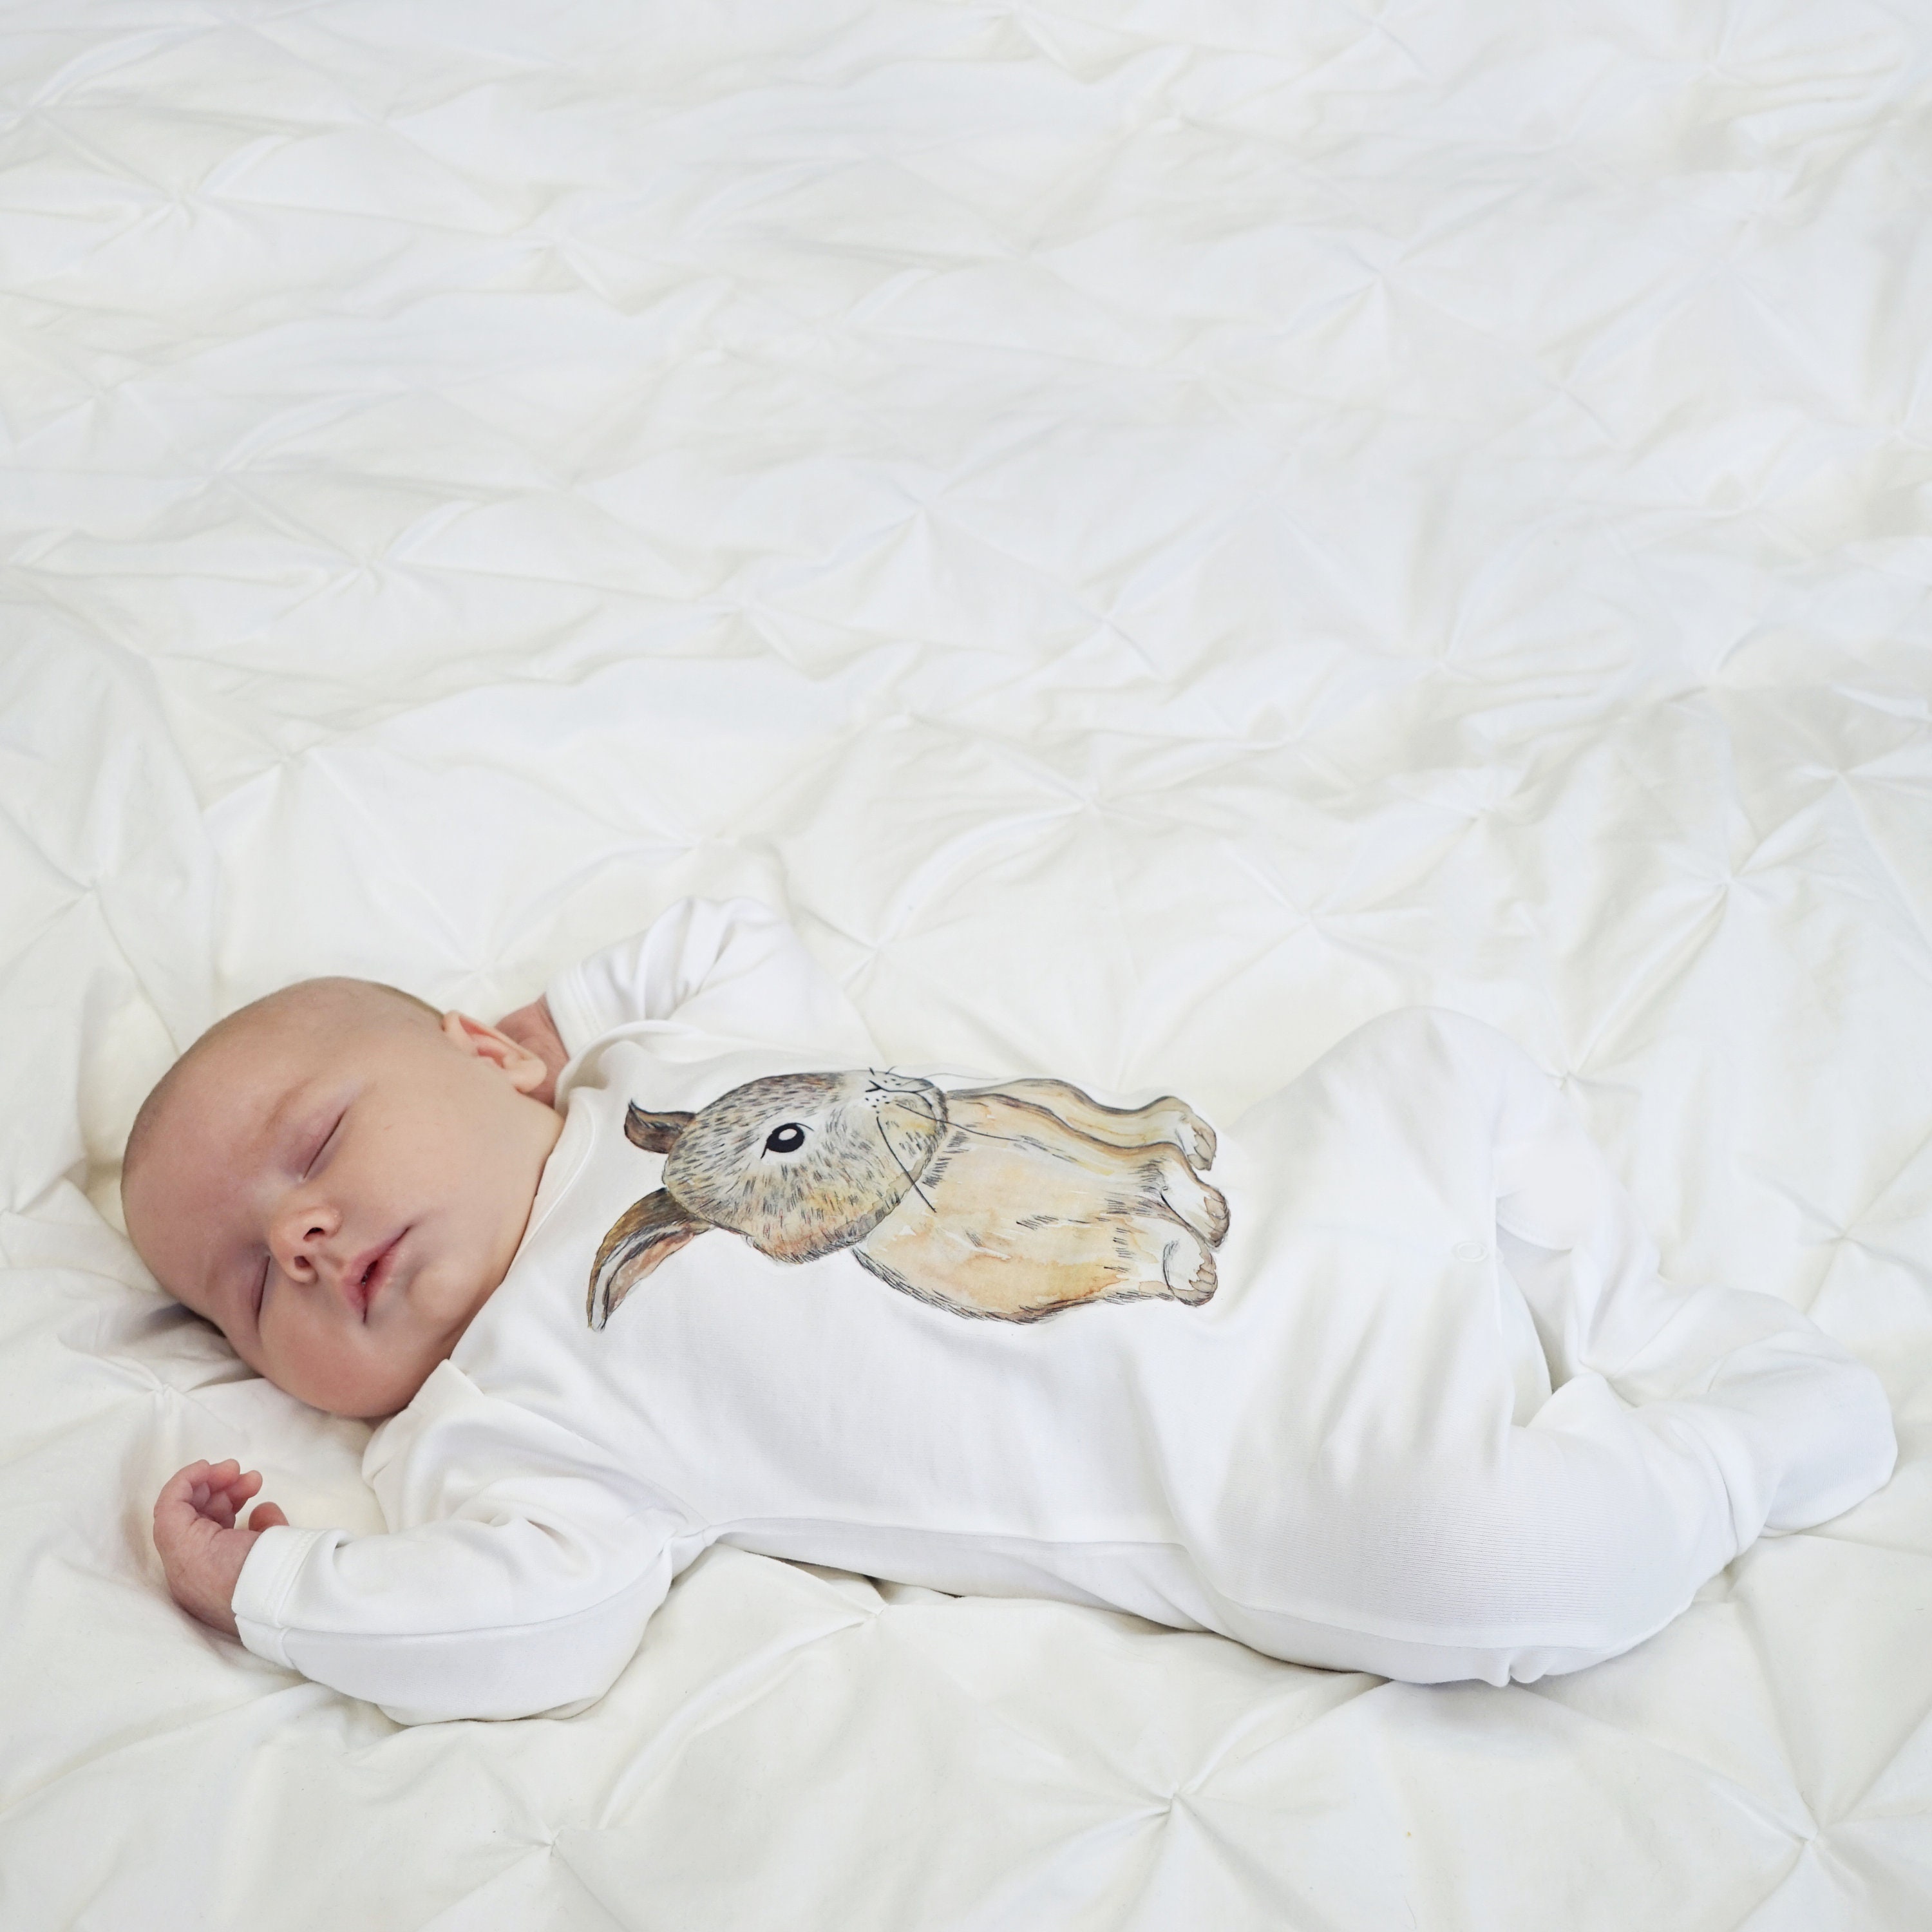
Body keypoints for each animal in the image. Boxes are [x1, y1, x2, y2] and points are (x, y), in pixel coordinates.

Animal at [587, 1068, 1229, 1329]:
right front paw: (1201, 1270)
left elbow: (1154, 1171)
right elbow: (1135, 1233)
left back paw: (1201, 1152)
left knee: (1155, 1144)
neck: (919, 1178)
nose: (881, 1083)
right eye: (785, 1138)